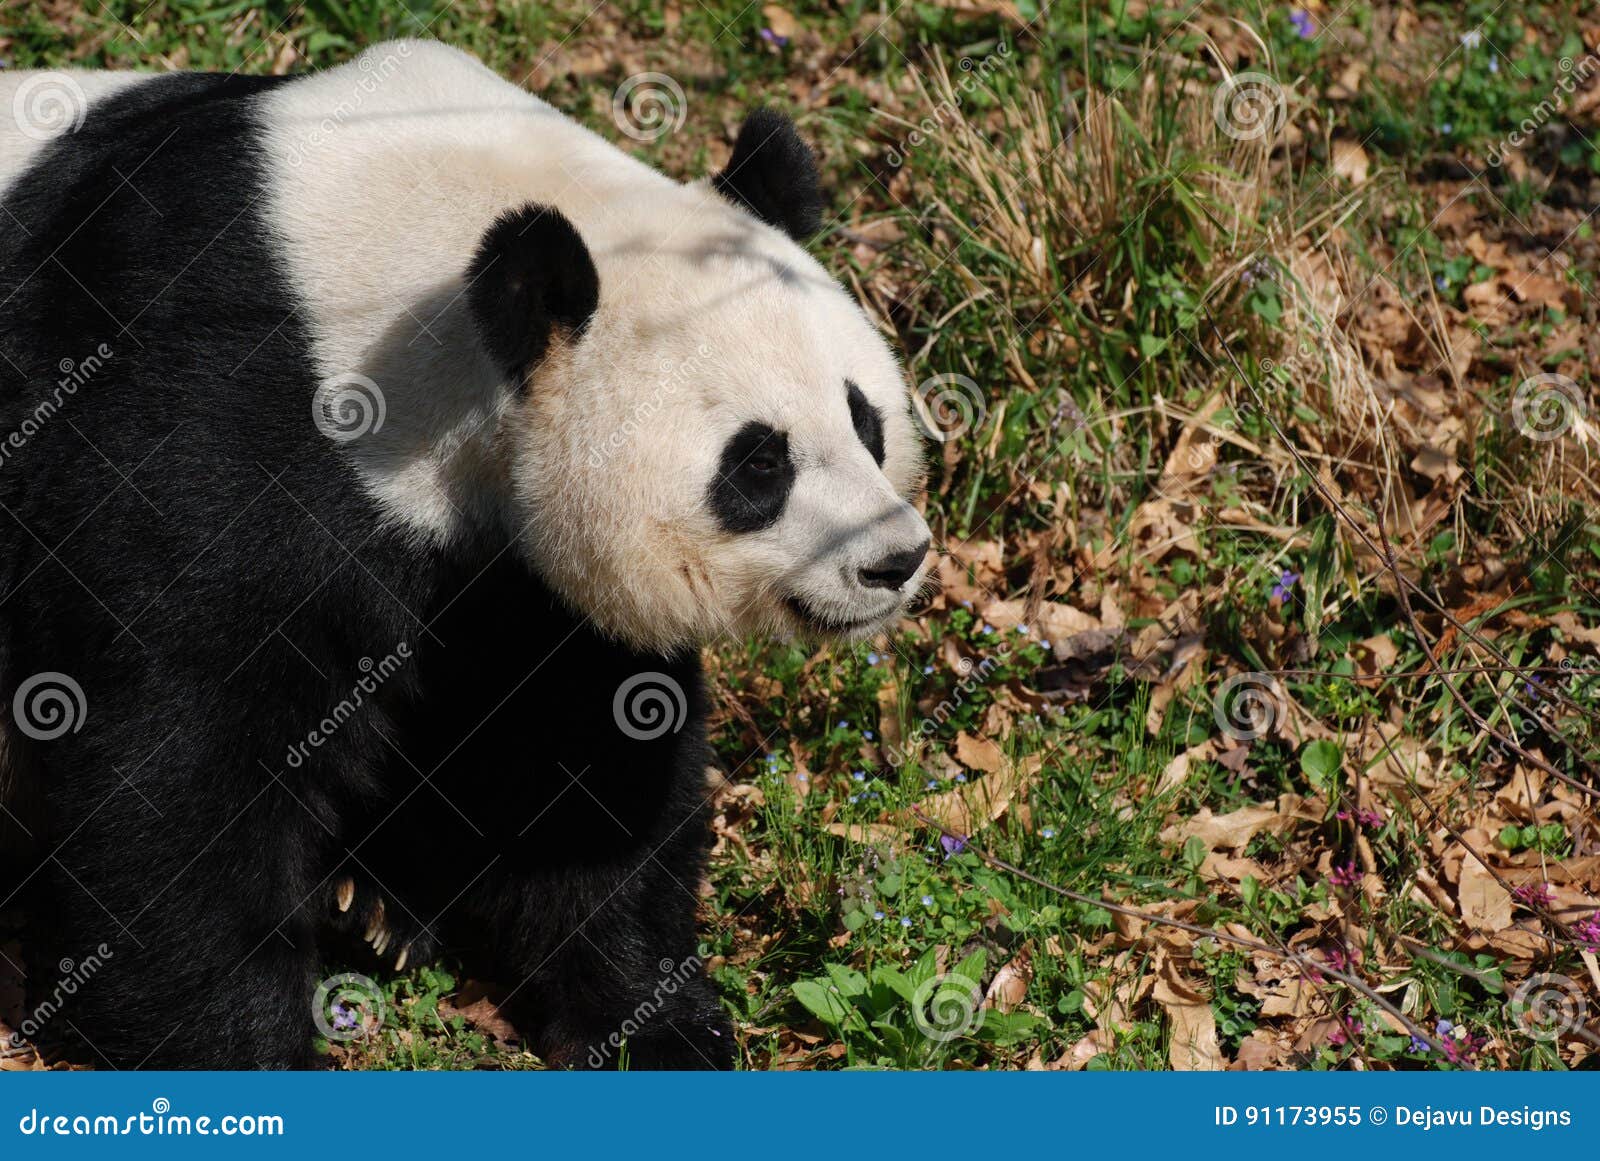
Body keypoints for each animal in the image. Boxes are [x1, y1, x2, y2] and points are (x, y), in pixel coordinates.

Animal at [0, 40, 929, 1069]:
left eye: (866, 421)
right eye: (760, 462)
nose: (894, 561)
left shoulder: (514, 578)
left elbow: (583, 756)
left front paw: (655, 1023)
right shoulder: (209, 411)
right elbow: (178, 748)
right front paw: (236, 1044)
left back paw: (374, 908)